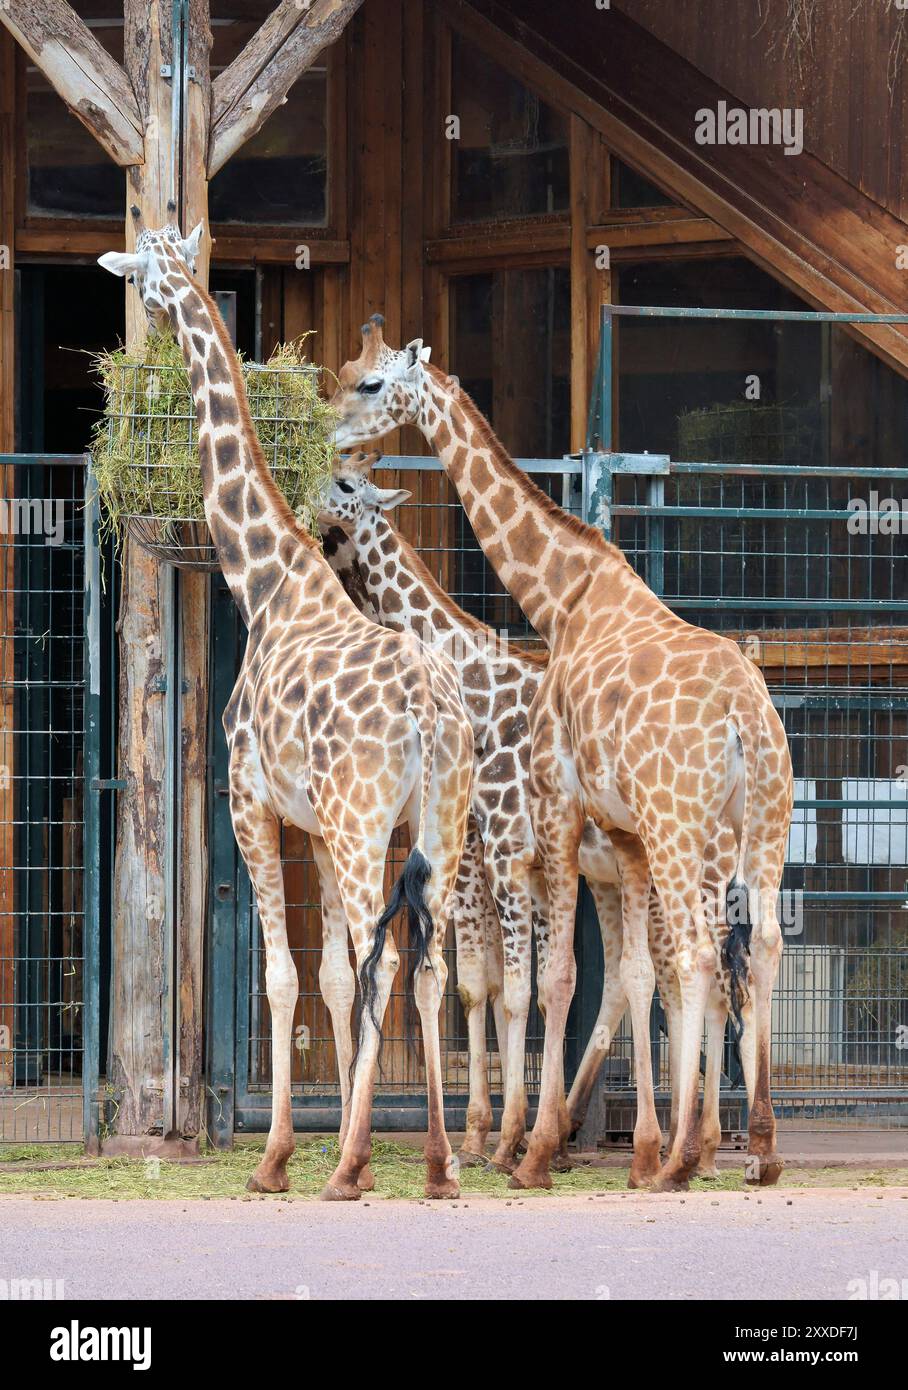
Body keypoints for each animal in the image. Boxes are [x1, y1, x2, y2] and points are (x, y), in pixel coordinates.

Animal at [98, 222, 474, 1200]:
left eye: (142, 278)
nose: (146, 325)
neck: (266, 582)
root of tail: (430, 711)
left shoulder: (253, 806)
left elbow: (279, 976)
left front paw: (277, 1157)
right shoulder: (313, 824)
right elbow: (336, 976)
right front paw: (338, 1130)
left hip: (364, 822)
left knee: (393, 963)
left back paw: (347, 1167)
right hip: (435, 822)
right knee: (427, 966)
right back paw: (437, 1164)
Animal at [329, 317, 794, 1192]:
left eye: (369, 384)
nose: (329, 435)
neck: (566, 597)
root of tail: (746, 718)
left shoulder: (537, 824)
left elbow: (538, 985)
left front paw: (522, 1146)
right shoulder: (606, 841)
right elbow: (600, 980)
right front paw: (567, 1139)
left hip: (683, 833)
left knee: (695, 960)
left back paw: (680, 1152)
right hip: (762, 829)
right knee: (750, 951)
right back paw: (750, 1146)